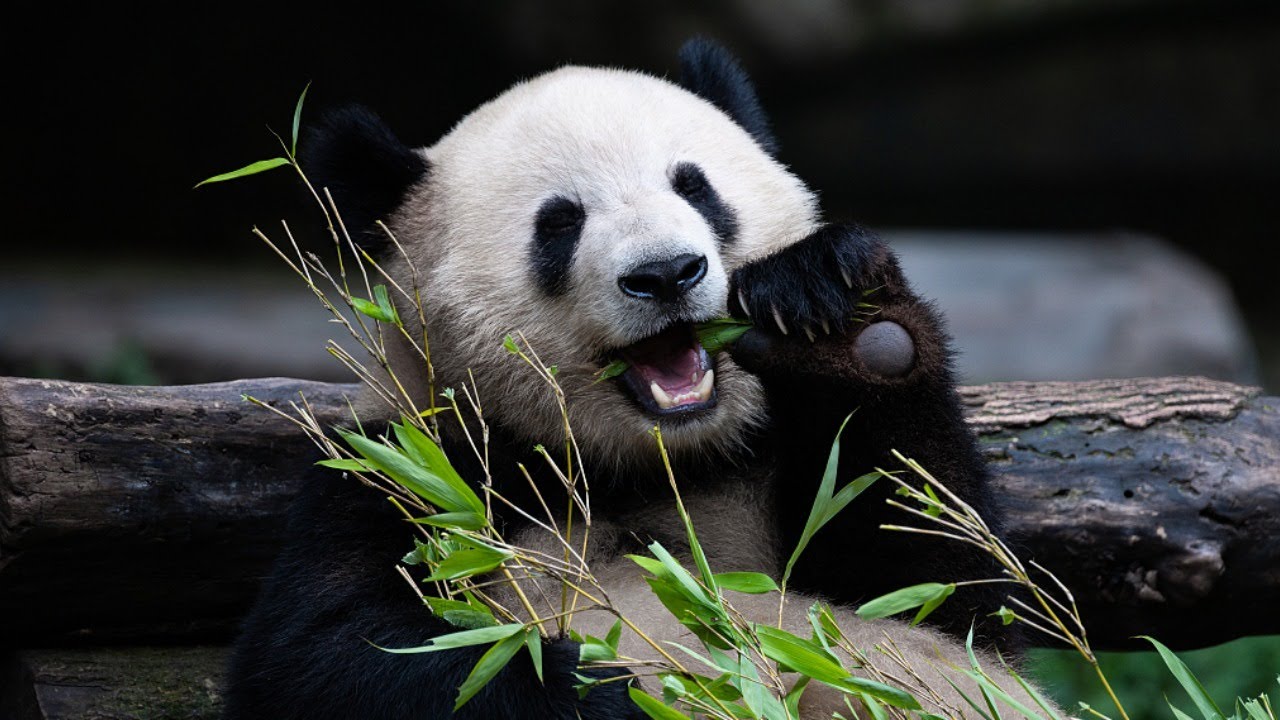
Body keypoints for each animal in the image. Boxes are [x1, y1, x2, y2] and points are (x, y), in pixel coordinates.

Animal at [224, 39, 1054, 719]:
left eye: (695, 187)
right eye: (559, 223)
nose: (666, 273)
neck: (650, 461)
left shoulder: (776, 465)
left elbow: (941, 594)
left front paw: (843, 316)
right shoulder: (415, 465)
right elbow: (330, 655)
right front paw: (617, 693)